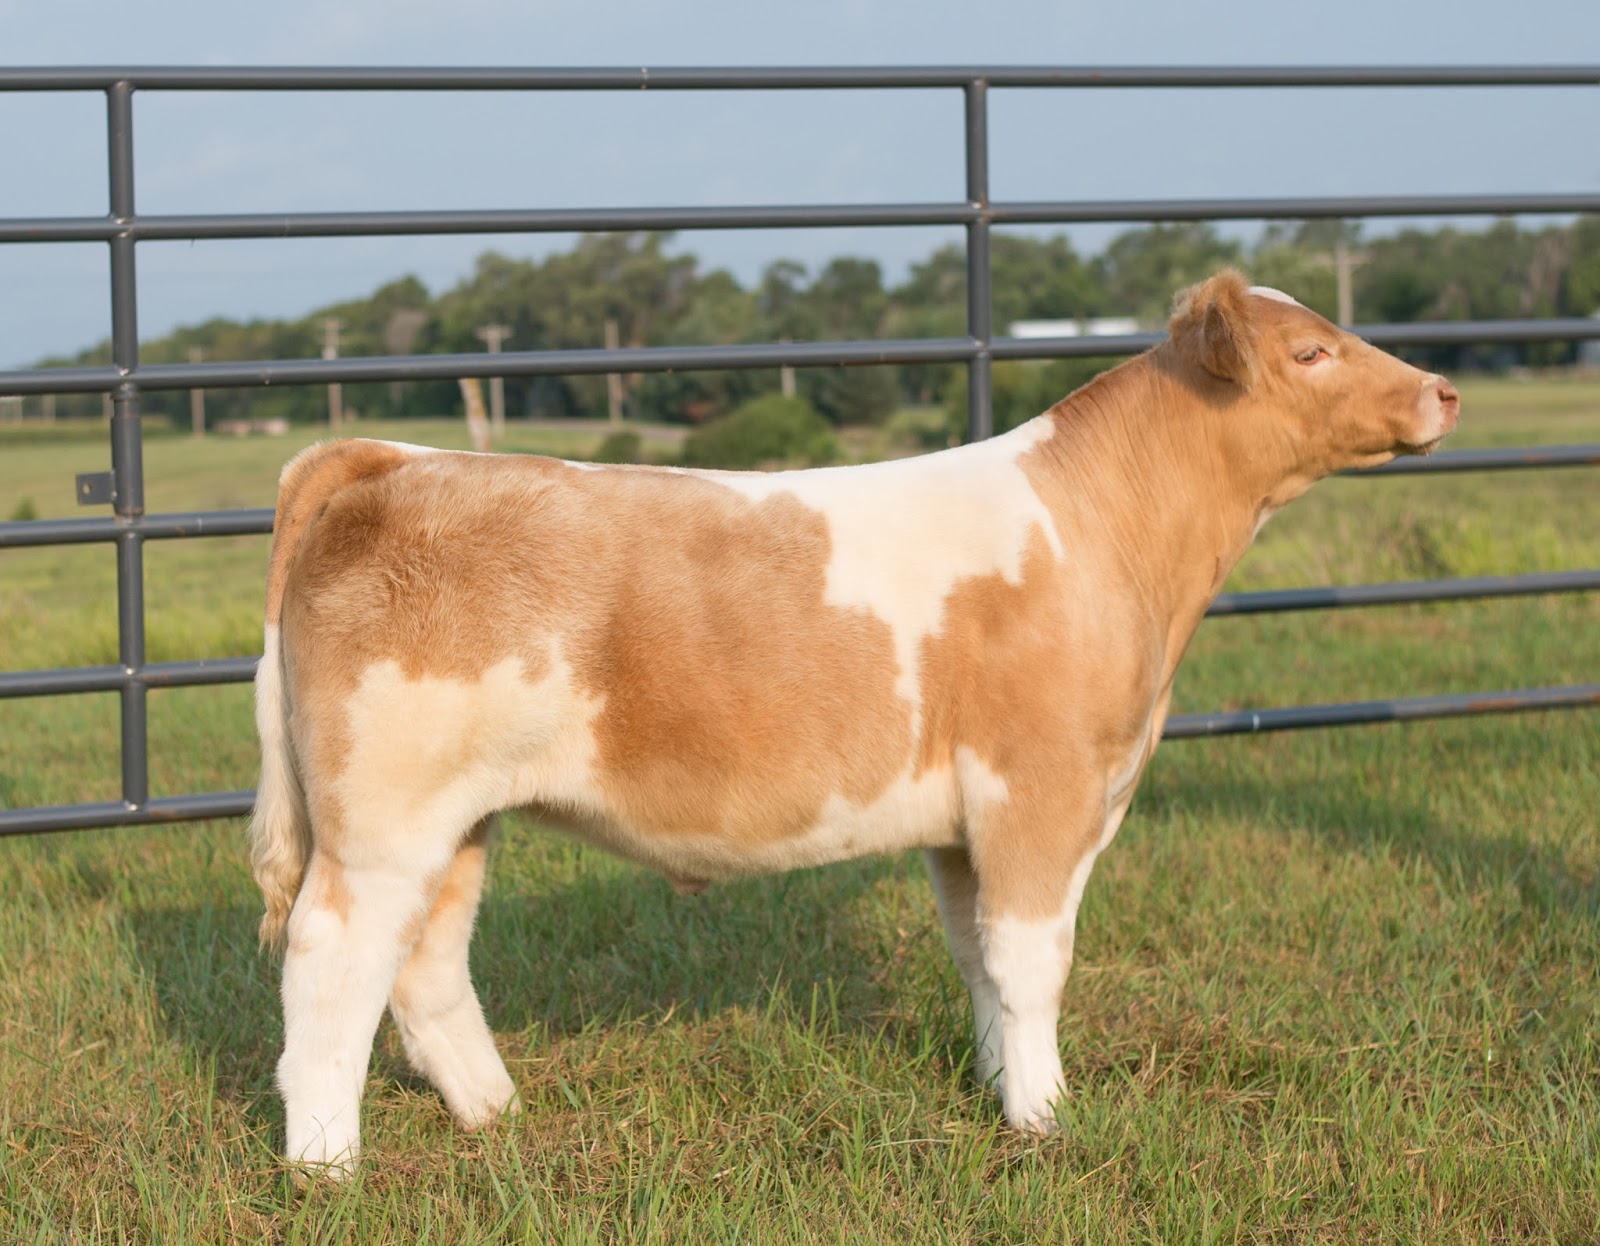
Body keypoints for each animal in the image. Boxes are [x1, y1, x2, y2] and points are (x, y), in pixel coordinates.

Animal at [249, 270, 1459, 1174]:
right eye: (1309, 354)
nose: (1443, 392)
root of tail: (393, 459)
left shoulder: (966, 825)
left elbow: (980, 962)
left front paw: (1002, 1095)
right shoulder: (1041, 792)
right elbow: (1035, 963)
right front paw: (1048, 1123)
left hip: (455, 819)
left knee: (426, 963)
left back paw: (497, 1114)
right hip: (384, 818)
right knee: (330, 959)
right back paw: (326, 1164)